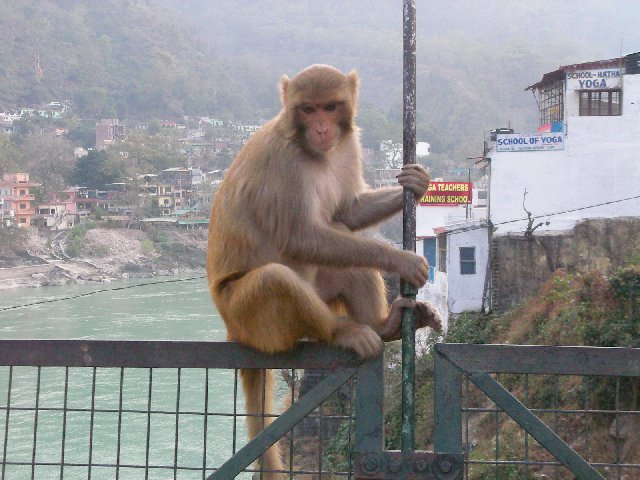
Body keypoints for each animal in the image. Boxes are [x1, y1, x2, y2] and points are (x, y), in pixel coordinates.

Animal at [206, 64, 442, 479]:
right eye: (308, 108)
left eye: (330, 107)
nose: (320, 129)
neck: (314, 152)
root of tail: (233, 331)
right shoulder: (283, 162)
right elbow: (301, 236)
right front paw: (399, 259)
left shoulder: (348, 147)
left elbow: (348, 212)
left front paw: (417, 184)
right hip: (250, 316)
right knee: (277, 278)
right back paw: (342, 332)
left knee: (346, 250)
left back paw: (385, 325)